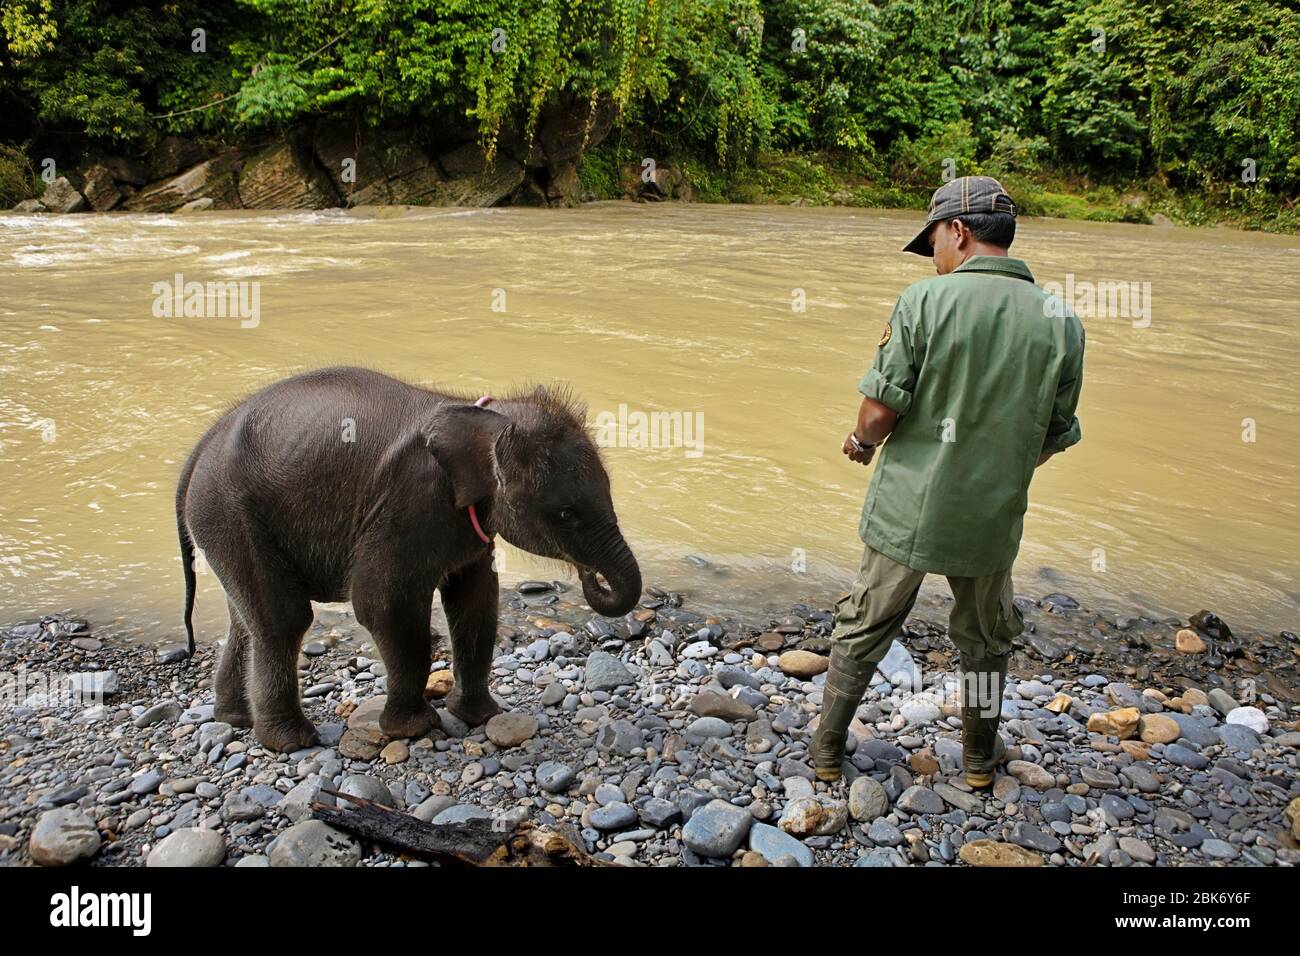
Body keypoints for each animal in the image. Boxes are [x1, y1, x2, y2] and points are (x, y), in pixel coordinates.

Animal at [175, 366, 642, 752]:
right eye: (566, 515)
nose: (589, 574)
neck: (481, 416)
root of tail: (199, 449)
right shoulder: (407, 504)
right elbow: (383, 604)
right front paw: (415, 729)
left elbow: (476, 601)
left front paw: (480, 717)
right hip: (229, 510)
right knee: (282, 619)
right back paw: (291, 742)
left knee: (246, 619)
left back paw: (234, 718)